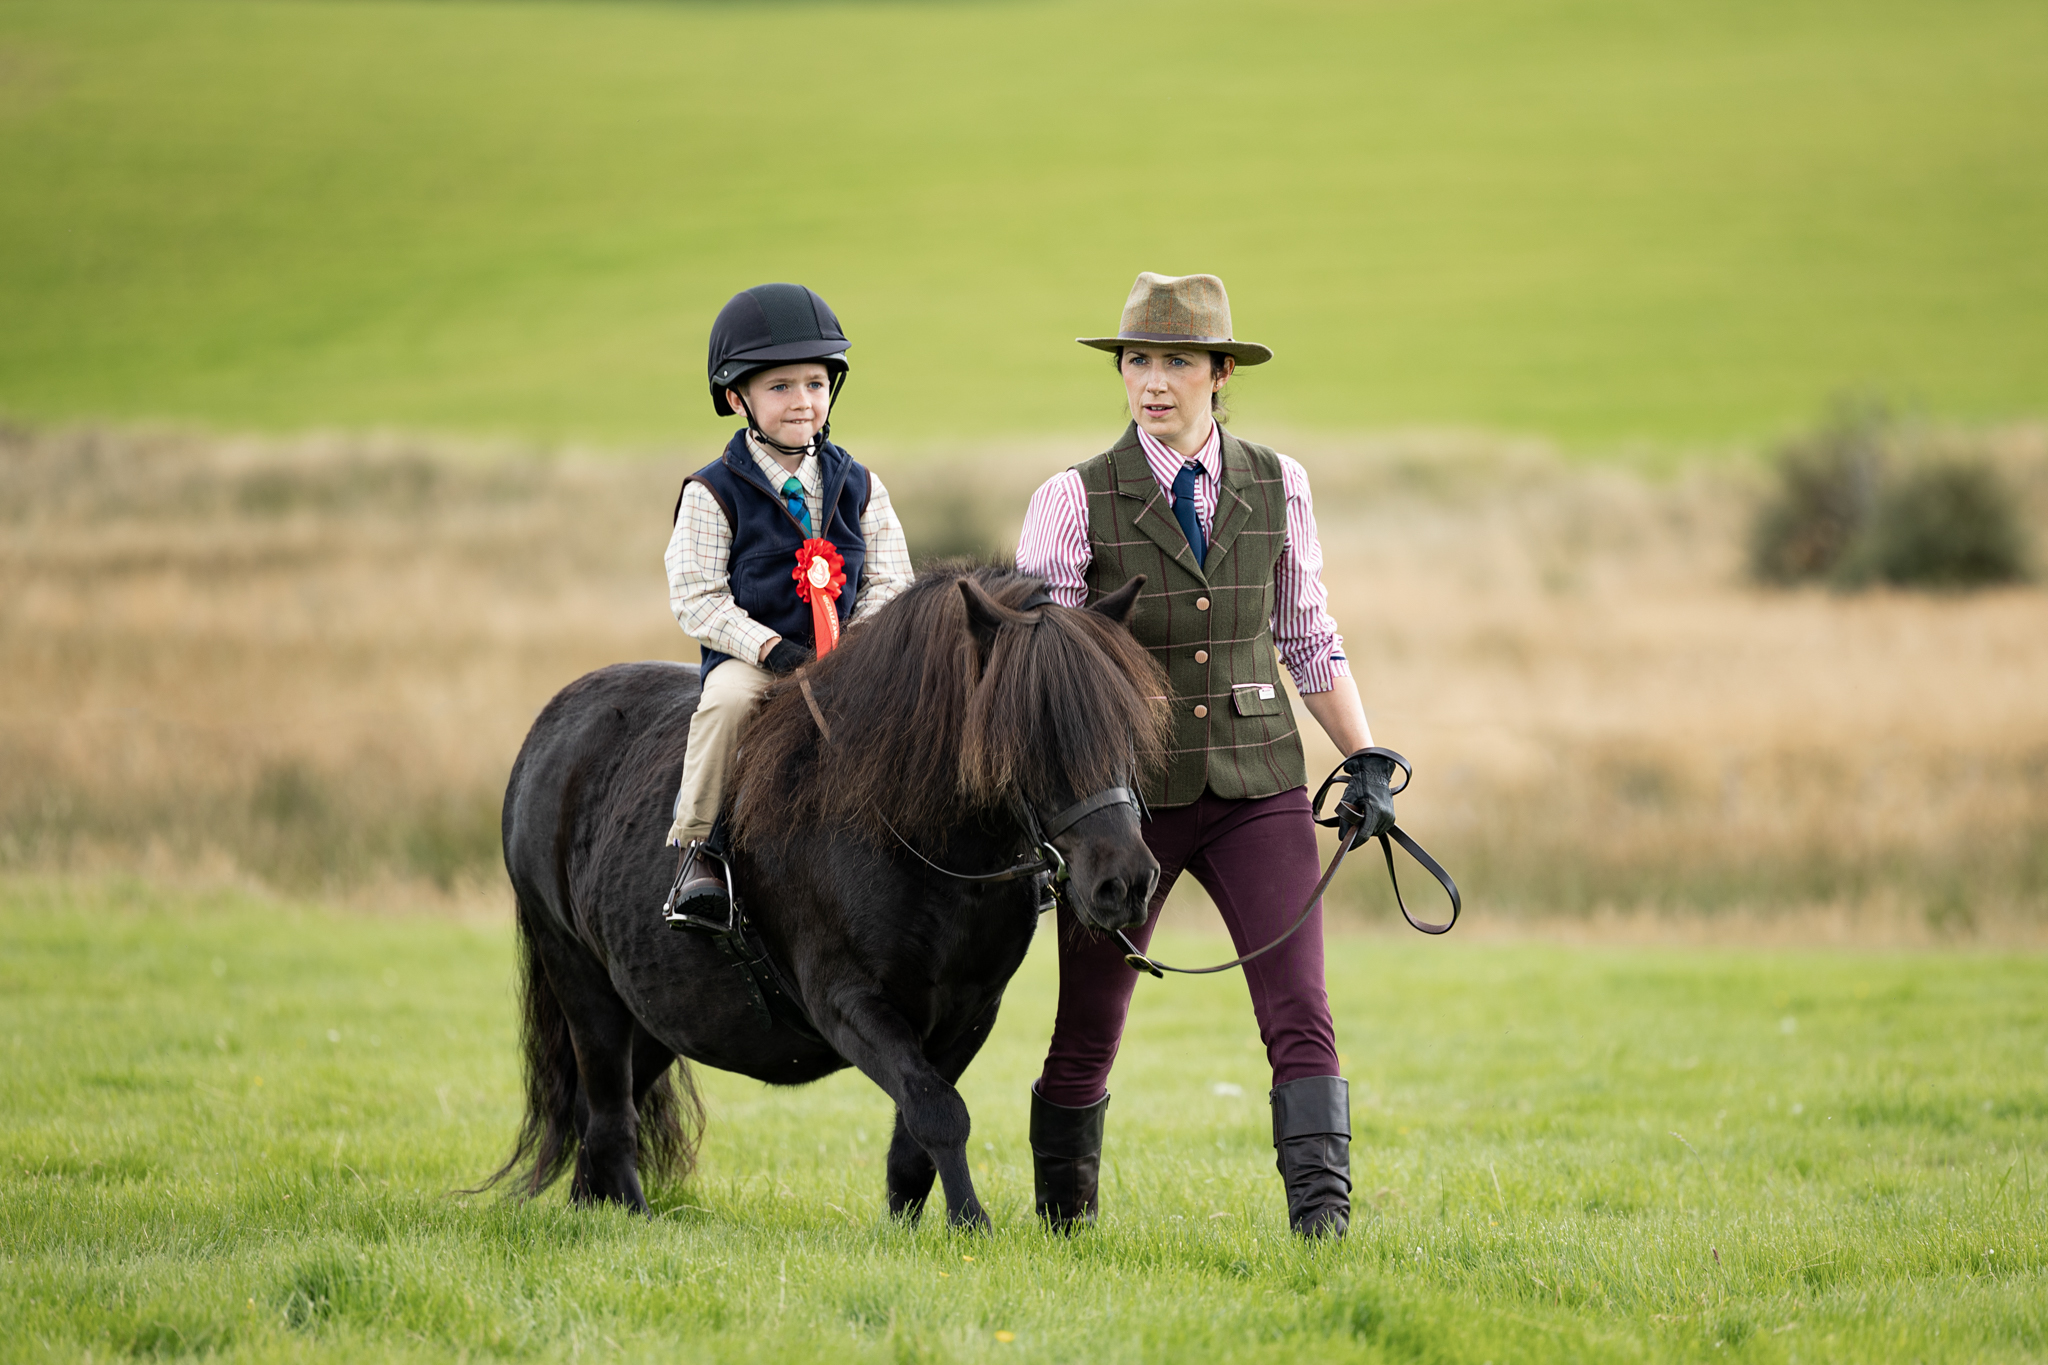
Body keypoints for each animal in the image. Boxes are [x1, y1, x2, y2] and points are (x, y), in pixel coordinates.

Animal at [481, 565, 1169, 1228]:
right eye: (1026, 731)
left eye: (1125, 728)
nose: (1126, 882)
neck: (911, 831)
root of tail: (550, 728)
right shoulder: (847, 1002)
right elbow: (938, 1110)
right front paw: (972, 1224)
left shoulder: (970, 1013)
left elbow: (915, 1136)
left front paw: (911, 1231)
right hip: (579, 975)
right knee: (606, 1113)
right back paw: (635, 1217)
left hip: (648, 1006)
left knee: (601, 1109)